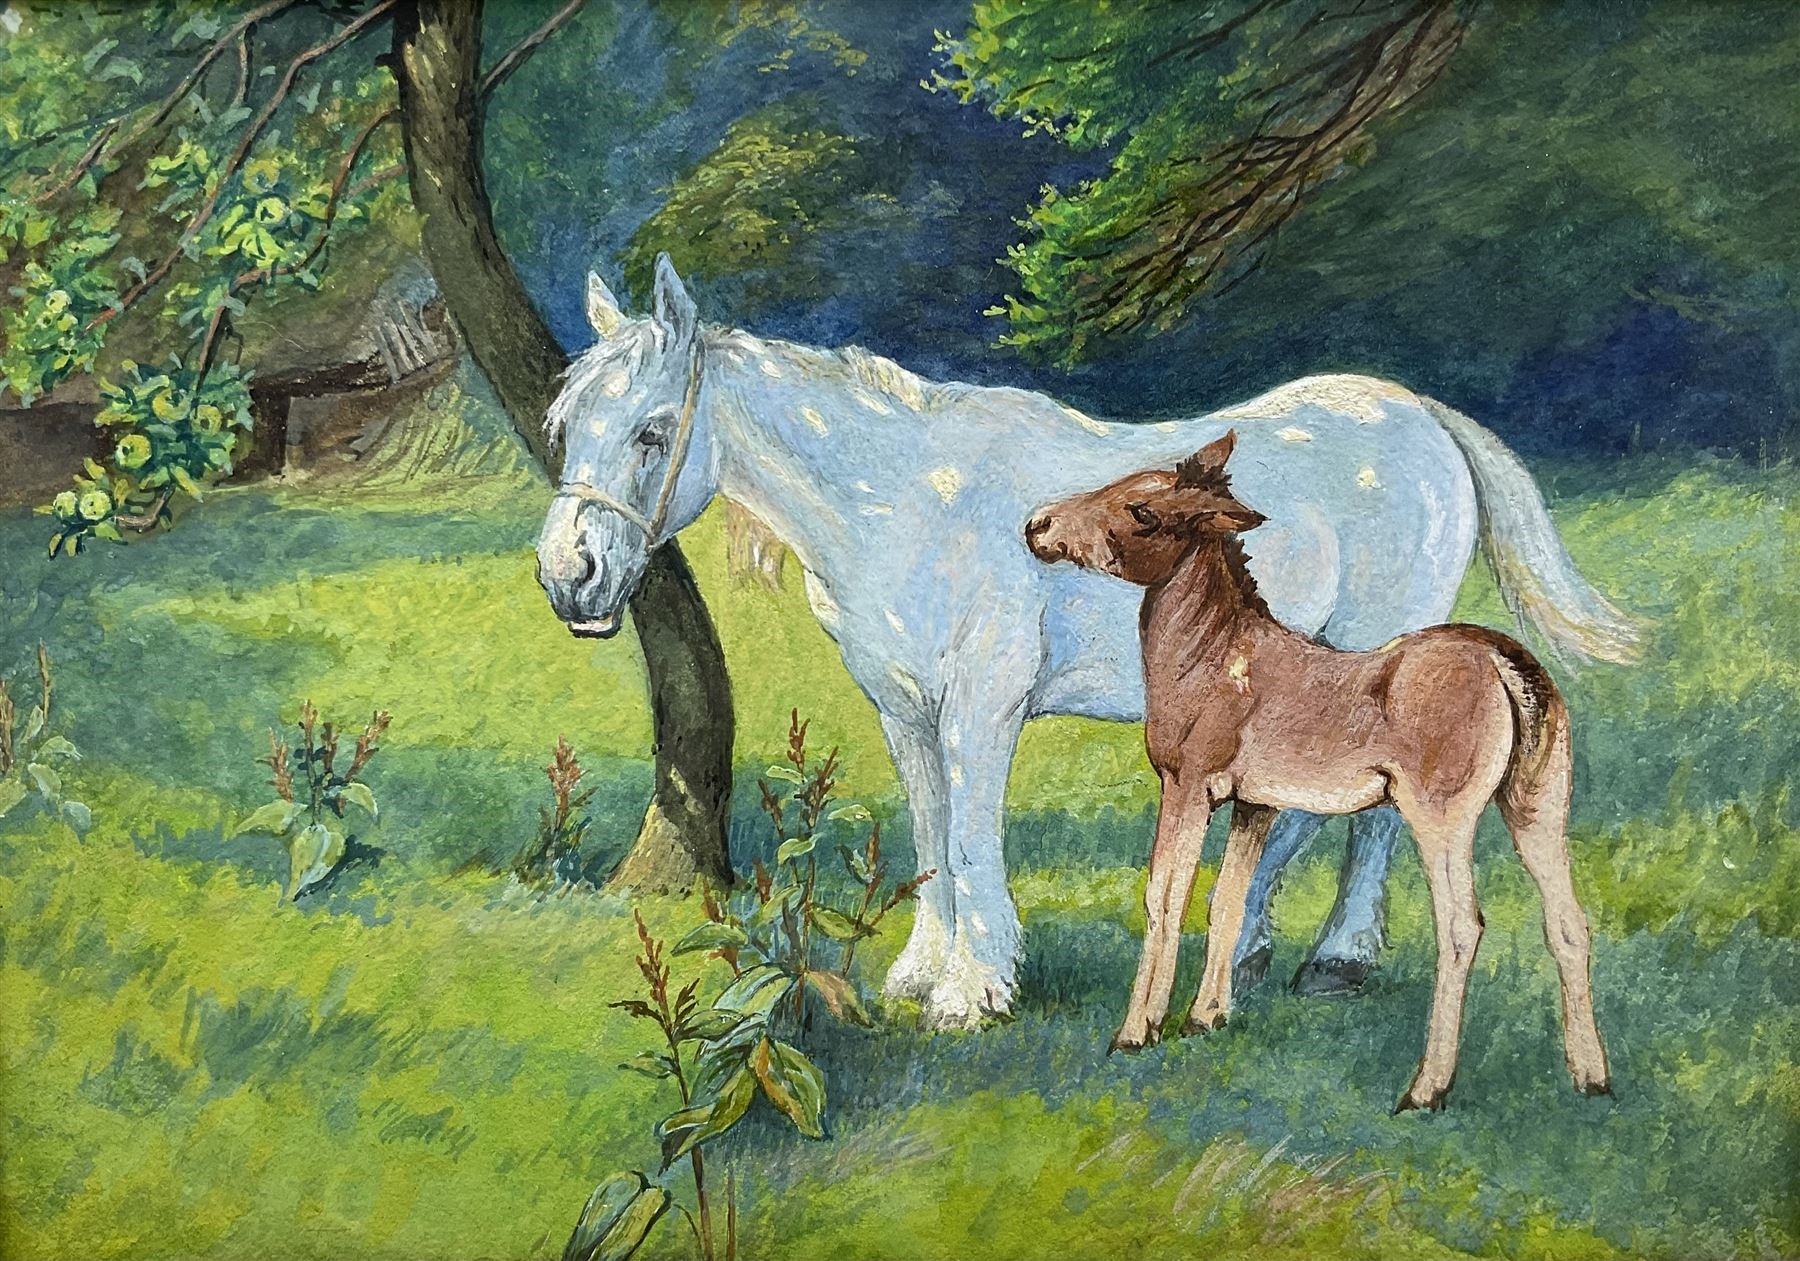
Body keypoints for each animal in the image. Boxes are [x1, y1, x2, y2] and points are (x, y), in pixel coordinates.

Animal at [536, 254, 1640, 1030]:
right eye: (564, 425)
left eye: (647, 431)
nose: (568, 574)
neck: (908, 499)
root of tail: (1419, 415)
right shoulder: (904, 708)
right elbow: (931, 836)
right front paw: (919, 976)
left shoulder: (981, 706)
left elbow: (970, 838)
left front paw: (975, 991)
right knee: (1301, 816)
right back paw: (1246, 950)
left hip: (1381, 658)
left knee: (1369, 822)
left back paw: (1336, 960)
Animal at [1024, 432, 1612, 1110]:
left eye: (1143, 511)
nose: (1037, 526)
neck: (1211, 657)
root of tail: (1506, 662)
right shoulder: (1256, 803)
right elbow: (1227, 901)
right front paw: (1206, 1018)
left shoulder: (1188, 787)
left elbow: (1165, 898)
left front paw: (1135, 1031)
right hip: (1536, 805)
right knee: (1569, 923)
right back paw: (1592, 1077)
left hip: (1441, 816)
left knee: (1462, 926)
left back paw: (1425, 1089)